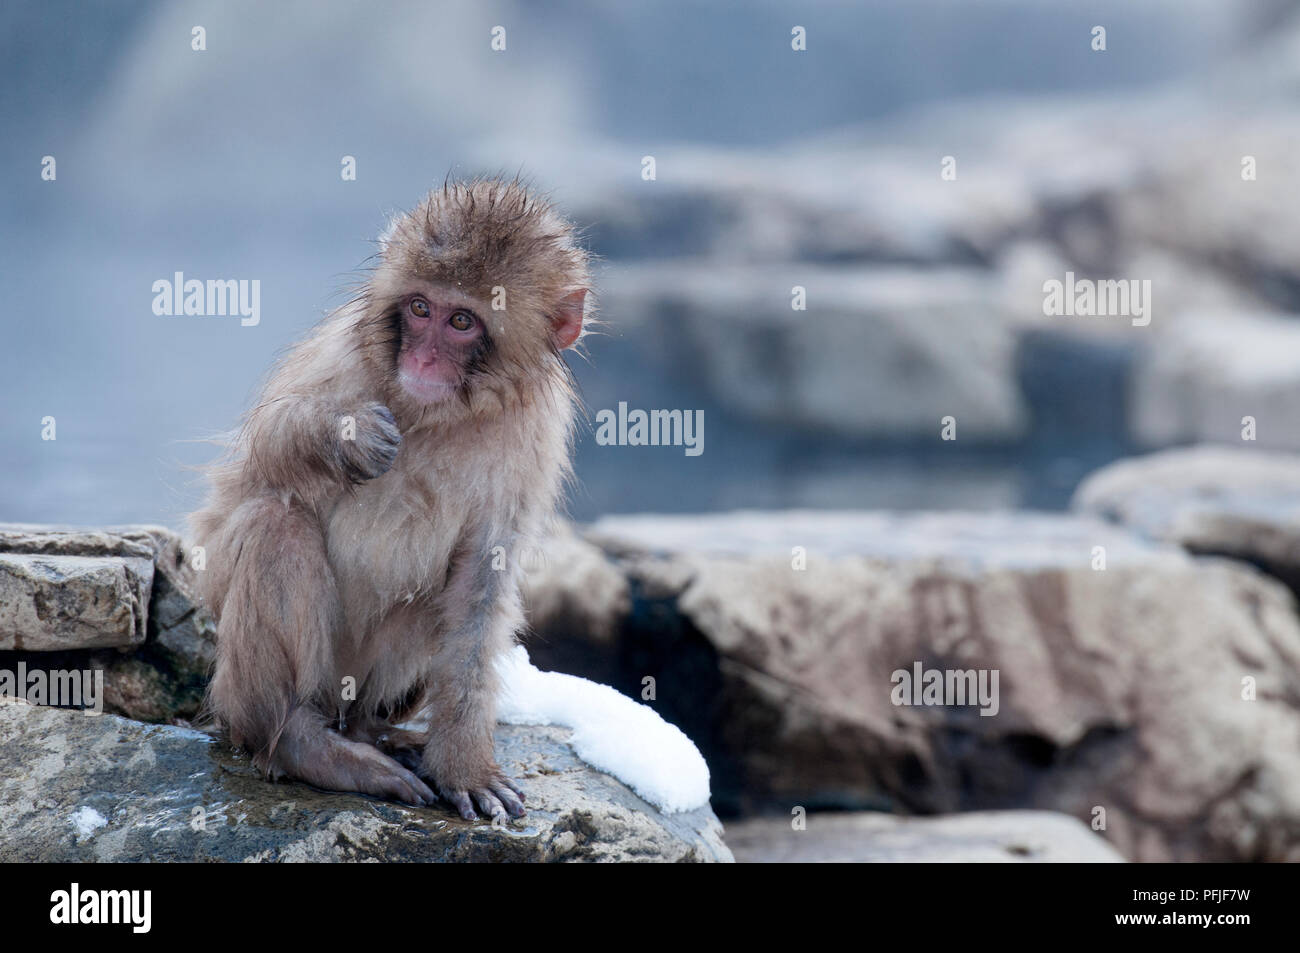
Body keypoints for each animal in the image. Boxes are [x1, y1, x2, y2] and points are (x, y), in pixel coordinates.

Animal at [189, 178, 590, 820]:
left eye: (461, 321)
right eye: (420, 309)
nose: (421, 359)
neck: (441, 413)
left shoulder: (535, 434)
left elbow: (482, 582)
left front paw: (464, 765)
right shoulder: (343, 354)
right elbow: (261, 453)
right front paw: (348, 436)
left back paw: (371, 733)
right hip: (250, 678)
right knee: (276, 524)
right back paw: (299, 741)